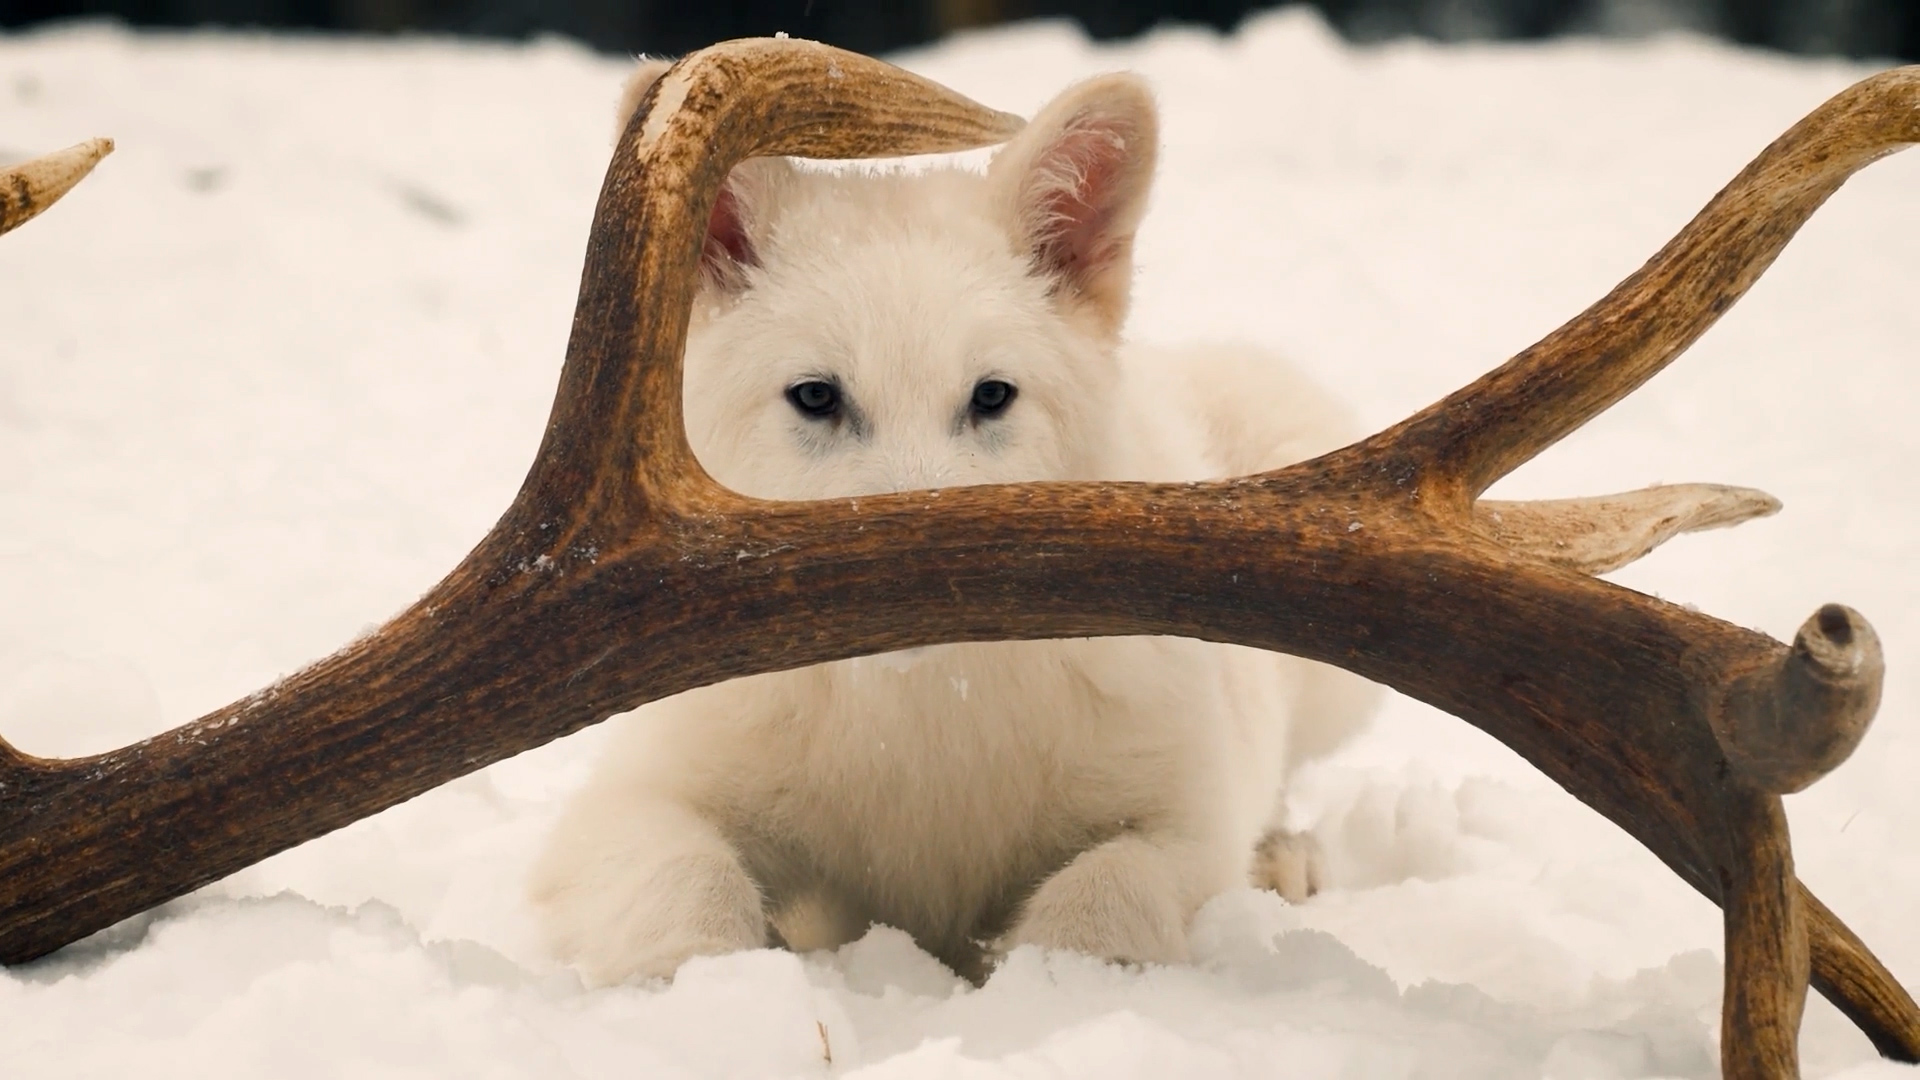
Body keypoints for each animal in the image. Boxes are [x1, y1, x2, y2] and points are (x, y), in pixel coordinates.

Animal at [528, 57, 1379, 986]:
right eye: (816, 396)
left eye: (992, 395)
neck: (927, 702)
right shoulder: (637, 795)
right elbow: (685, 875)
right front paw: (712, 984)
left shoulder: (1184, 818)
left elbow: (1106, 894)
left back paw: (1287, 854)